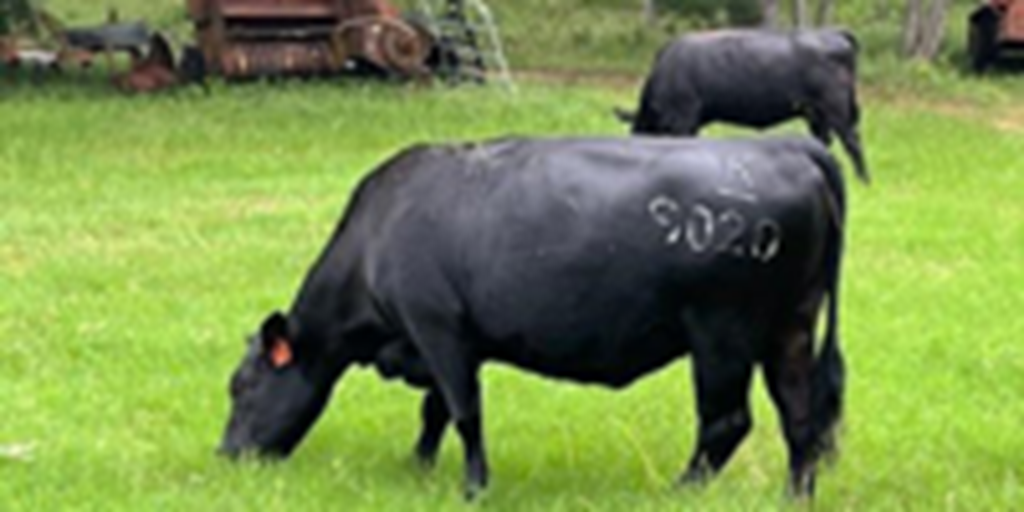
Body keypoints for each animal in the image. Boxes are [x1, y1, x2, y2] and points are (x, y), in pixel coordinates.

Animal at [220, 135, 848, 500]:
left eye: (242, 388)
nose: (226, 455)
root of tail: (790, 149)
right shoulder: (436, 342)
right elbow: (434, 412)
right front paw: (418, 467)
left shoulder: (438, 328)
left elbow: (463, 411)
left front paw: (474, 487)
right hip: (791, 327)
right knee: (801, 419)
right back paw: (796, 496)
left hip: (722, 334)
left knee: (726, 422)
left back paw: (679, 492)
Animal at [615, 28, 869, 183]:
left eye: (638, 133)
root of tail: (832, 32)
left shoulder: (684, 118)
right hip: (816, 113)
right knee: (825, 140)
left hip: (836, 108)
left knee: (852, 141)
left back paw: (863, 181)